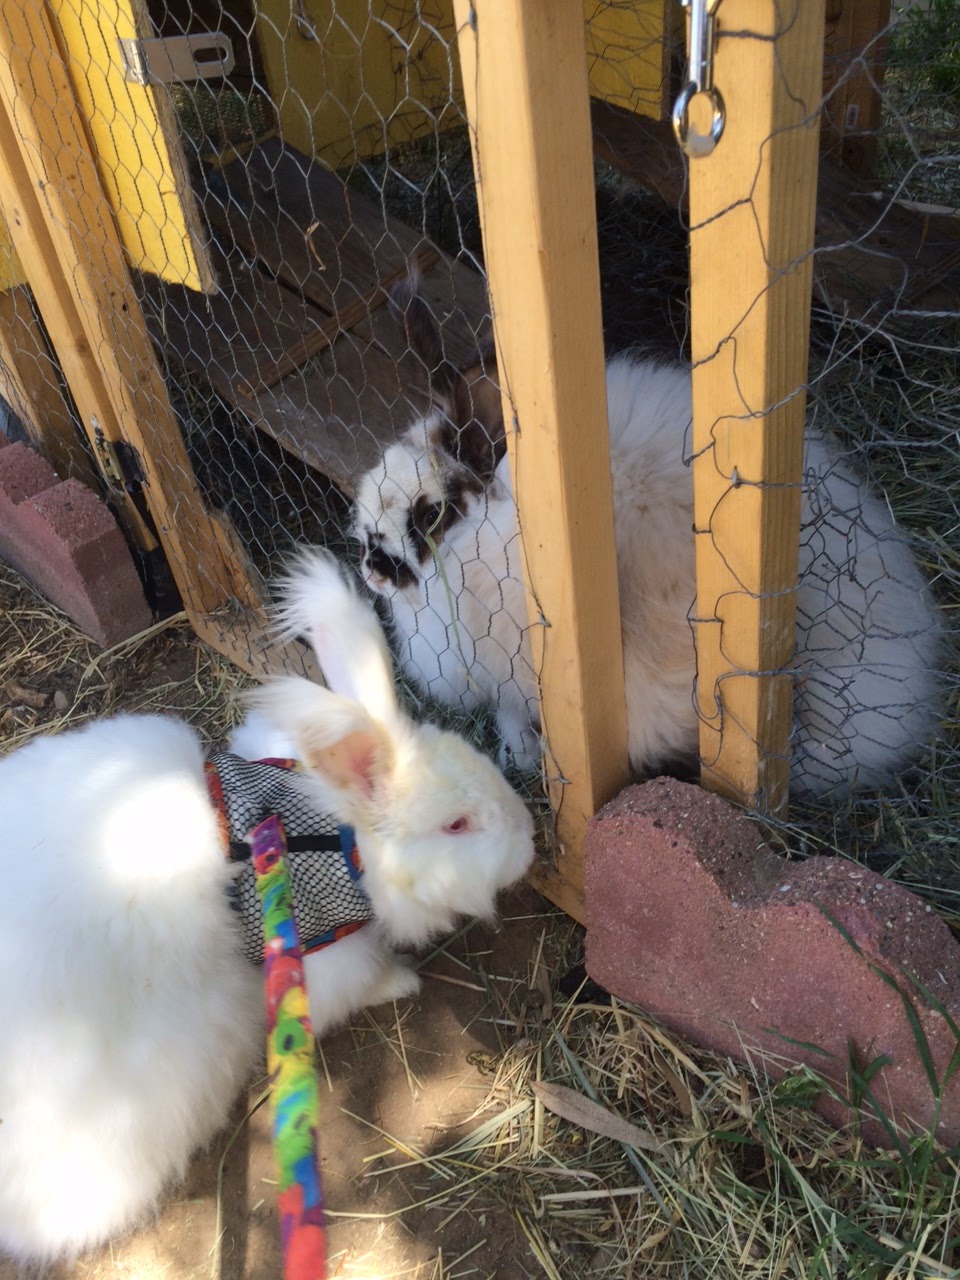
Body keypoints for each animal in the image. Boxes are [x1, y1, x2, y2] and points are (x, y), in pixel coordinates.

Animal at [0, 549, 534, 1265]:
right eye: (455, 826)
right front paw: (402, 983)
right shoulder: (327, 958)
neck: (332, 837)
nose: (528, 837)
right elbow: (364, 979)